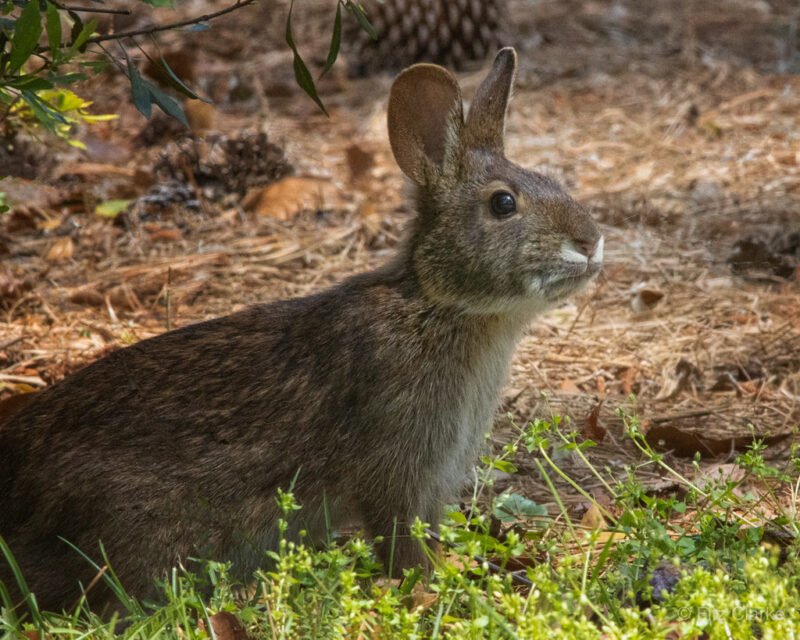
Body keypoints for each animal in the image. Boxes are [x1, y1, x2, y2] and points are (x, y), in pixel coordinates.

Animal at [0, 47, 603, 612]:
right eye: (503, 203)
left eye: (551, 180)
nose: (591, 241)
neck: (437, 303)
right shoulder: (397, 468)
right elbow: (401, 540)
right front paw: (428, 590)